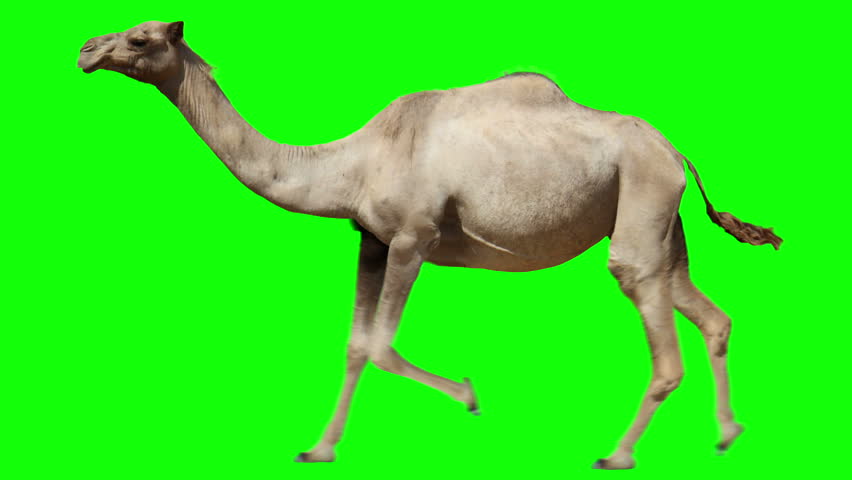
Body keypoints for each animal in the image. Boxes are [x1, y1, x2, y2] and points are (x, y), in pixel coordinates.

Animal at [78, 21, 782, 469]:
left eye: (140, 38)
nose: (86, 49)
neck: (350, 162)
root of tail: (676, 151)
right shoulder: (370, 241)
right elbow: (356, 346)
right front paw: (319, 449)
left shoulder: (413, 237)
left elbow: (382, 347)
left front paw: (469, 396)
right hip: (657, 216)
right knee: (705, 310)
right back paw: (727, 434)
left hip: (641, 197)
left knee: (651, 313)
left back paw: (618, 453)